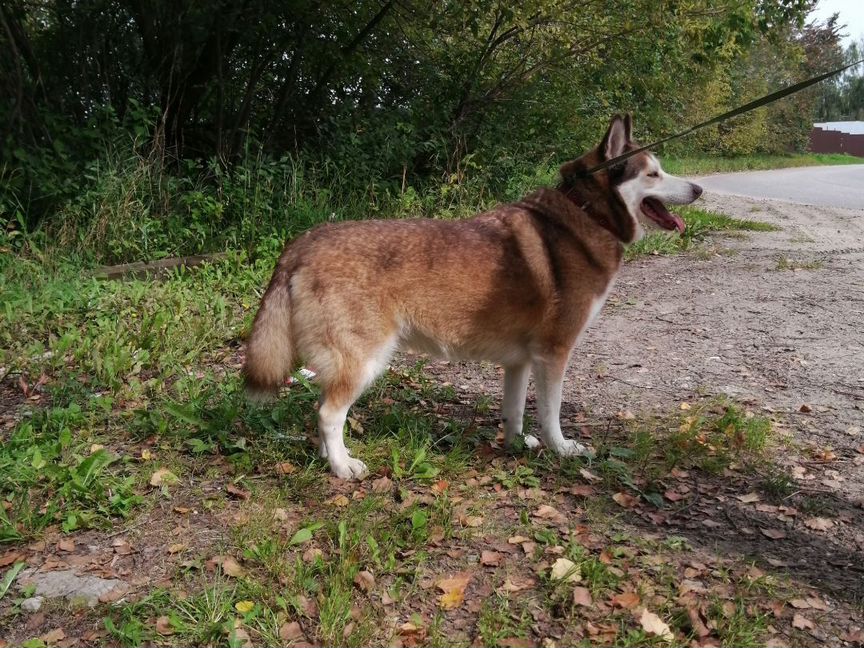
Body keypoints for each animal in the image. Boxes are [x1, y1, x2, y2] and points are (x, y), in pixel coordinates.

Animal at [243, 114, 704, 478]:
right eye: (653, 174)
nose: (699, 189)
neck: (586, 212)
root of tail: (303, 241)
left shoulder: (521, 361)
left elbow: (514, 411)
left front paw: (516, 446)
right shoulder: (553, 354)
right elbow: (552, 413)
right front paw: (561, 449)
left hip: (347, 362)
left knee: (323, 410)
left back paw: (330, 458)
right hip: (364, 360)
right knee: (328, 414)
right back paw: (342, 468)